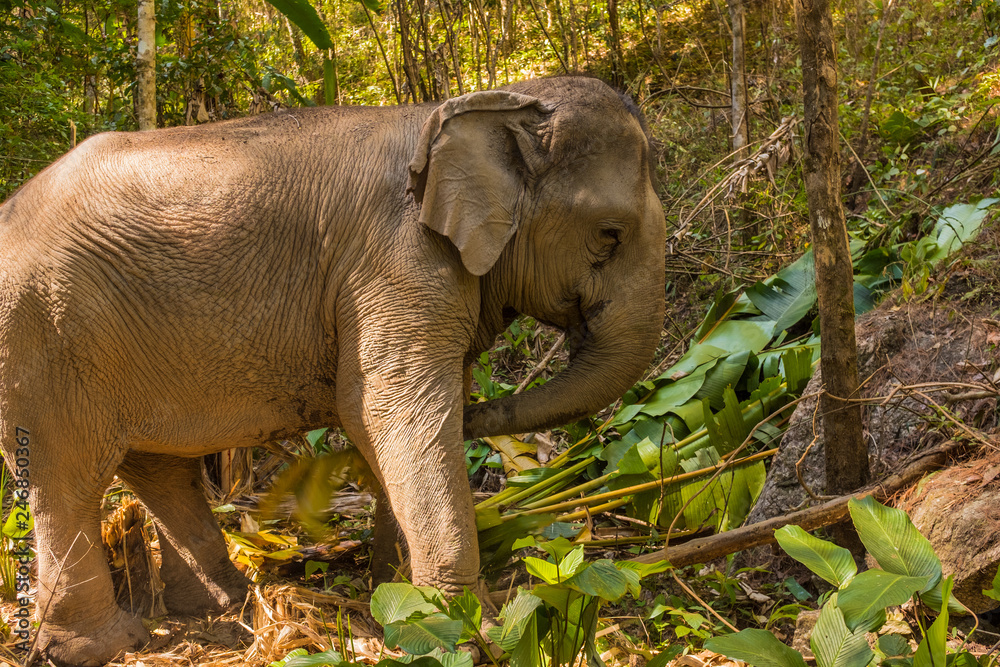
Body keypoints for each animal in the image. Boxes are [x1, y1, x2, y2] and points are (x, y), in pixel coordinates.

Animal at [0, 76, 665, 665]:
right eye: (609, 235)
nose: (485, 421)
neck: (478, 104)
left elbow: (404, 416)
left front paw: (394, 595)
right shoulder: (396, 259)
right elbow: (387, 409)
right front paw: (463, 626)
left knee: (158, 469)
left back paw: (223, 605)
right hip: (45, 341)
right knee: (69, 478)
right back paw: (107, 647)